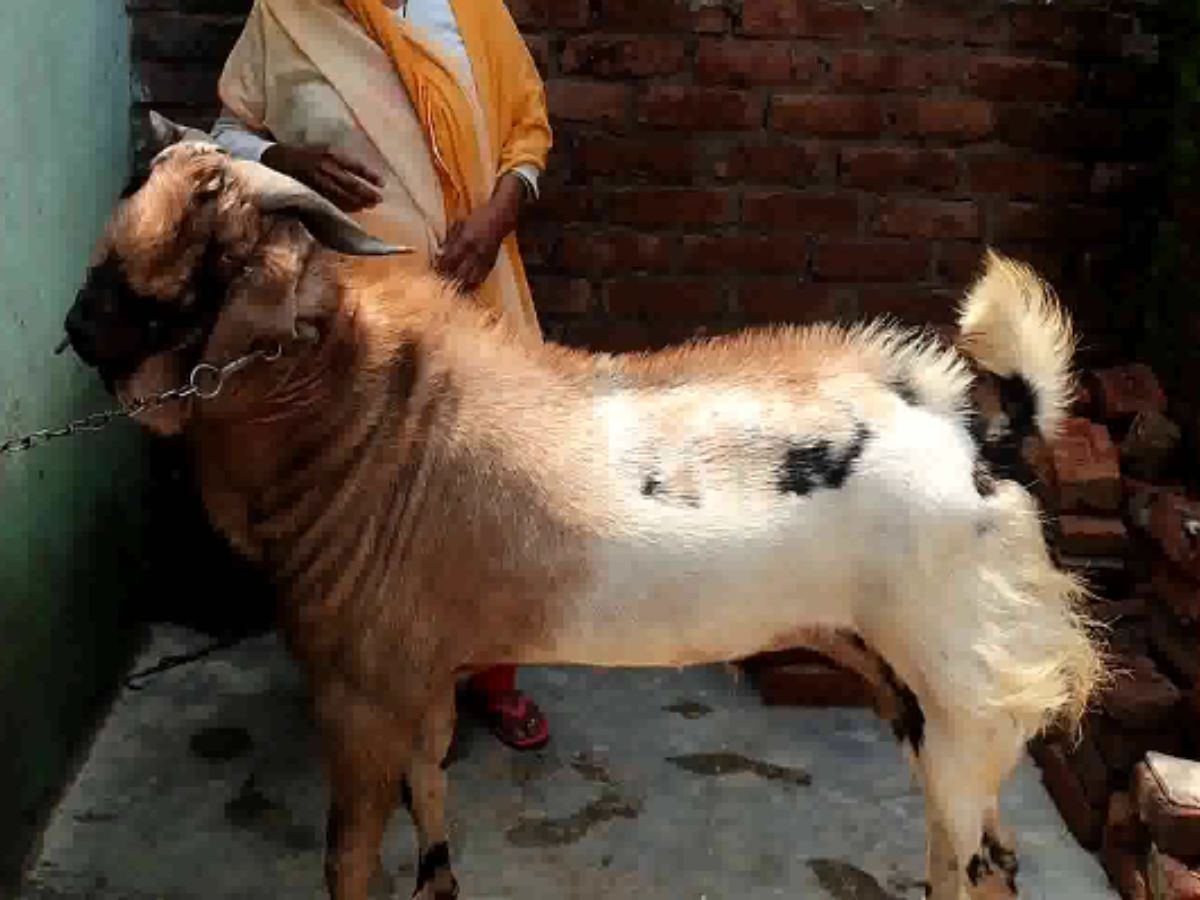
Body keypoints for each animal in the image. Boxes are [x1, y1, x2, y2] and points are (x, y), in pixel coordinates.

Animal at [64, 116, 1104, 900]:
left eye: (215, 252)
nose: (79, 329)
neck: (368, 415)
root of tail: (989, 436)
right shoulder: (418, 669)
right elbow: (430, 805)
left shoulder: (360, 687)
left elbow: (348, 861)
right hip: (914, 690)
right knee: (986, 862)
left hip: (962, 692)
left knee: (974, 863)